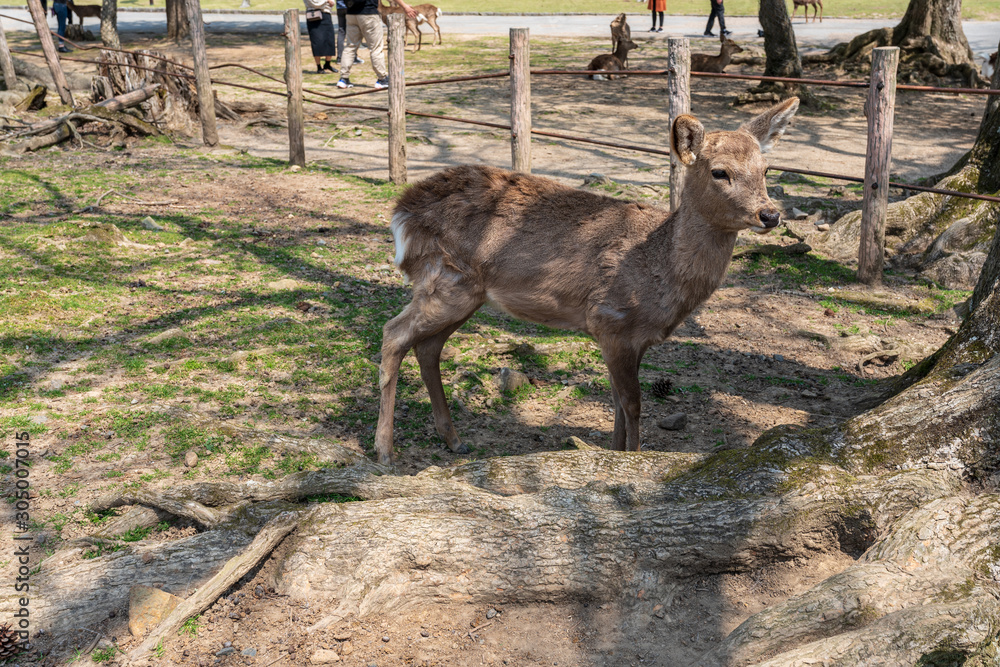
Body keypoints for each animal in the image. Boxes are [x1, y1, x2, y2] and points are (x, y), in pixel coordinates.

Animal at [373, 98, 800, 465]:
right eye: (719, 172)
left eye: (766, 170)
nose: (770, 215)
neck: (659, 267)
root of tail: (401, 212)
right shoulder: (611, 319)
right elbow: (633, 405)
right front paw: (632, 460)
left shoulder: (629, 338)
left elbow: (617, 404)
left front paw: (613, 455)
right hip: (446, 279)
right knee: (394, 333)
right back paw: (384, 451)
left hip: (462, 292)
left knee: (428, 347)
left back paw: (453, 440)